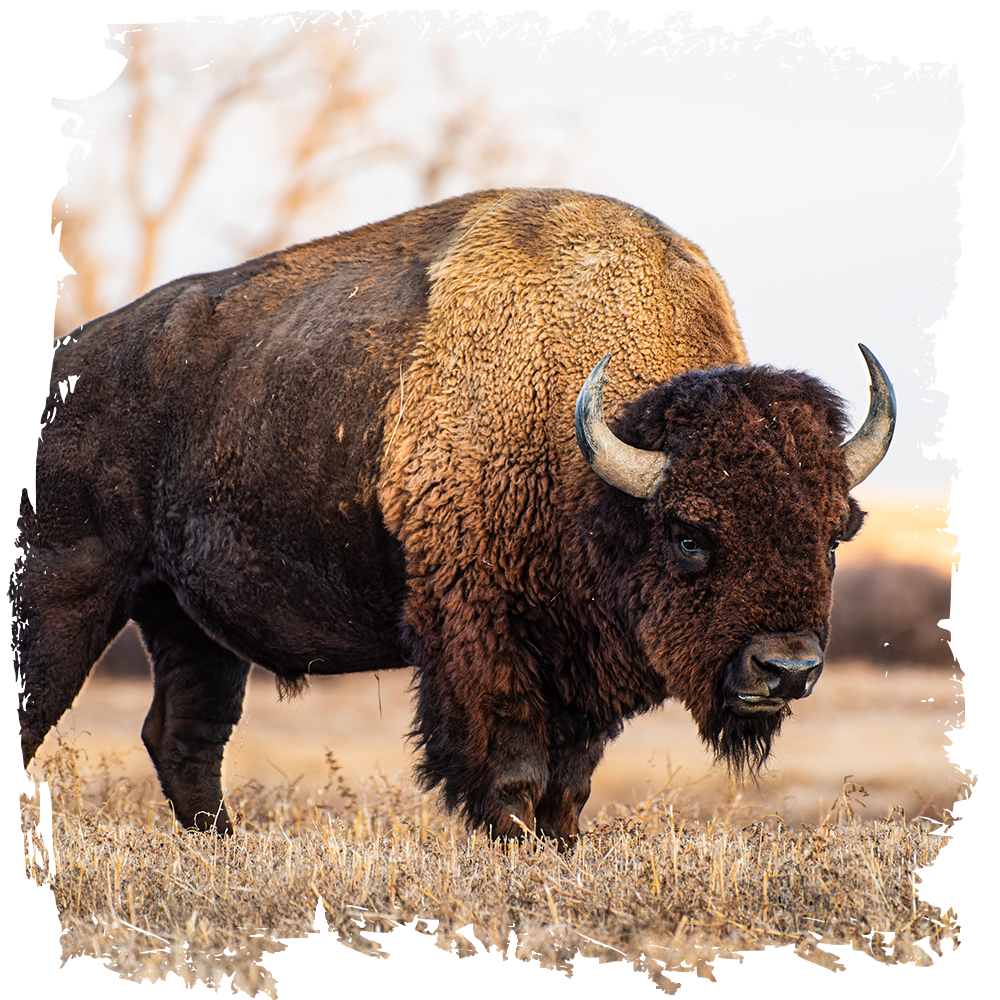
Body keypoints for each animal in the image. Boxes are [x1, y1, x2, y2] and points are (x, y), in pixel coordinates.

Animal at [13, 188, 894, 841]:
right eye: (688, 535)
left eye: (832, 536)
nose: (786, 669)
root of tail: (60, 368)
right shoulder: (484, 639)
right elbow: (512, 764)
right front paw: (511, 839)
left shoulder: (581, 664)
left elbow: (571, 778)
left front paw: (560, 844)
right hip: (62, 594)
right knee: (39, 709)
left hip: (188, 621)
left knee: (185, 735)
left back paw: (225, 844)